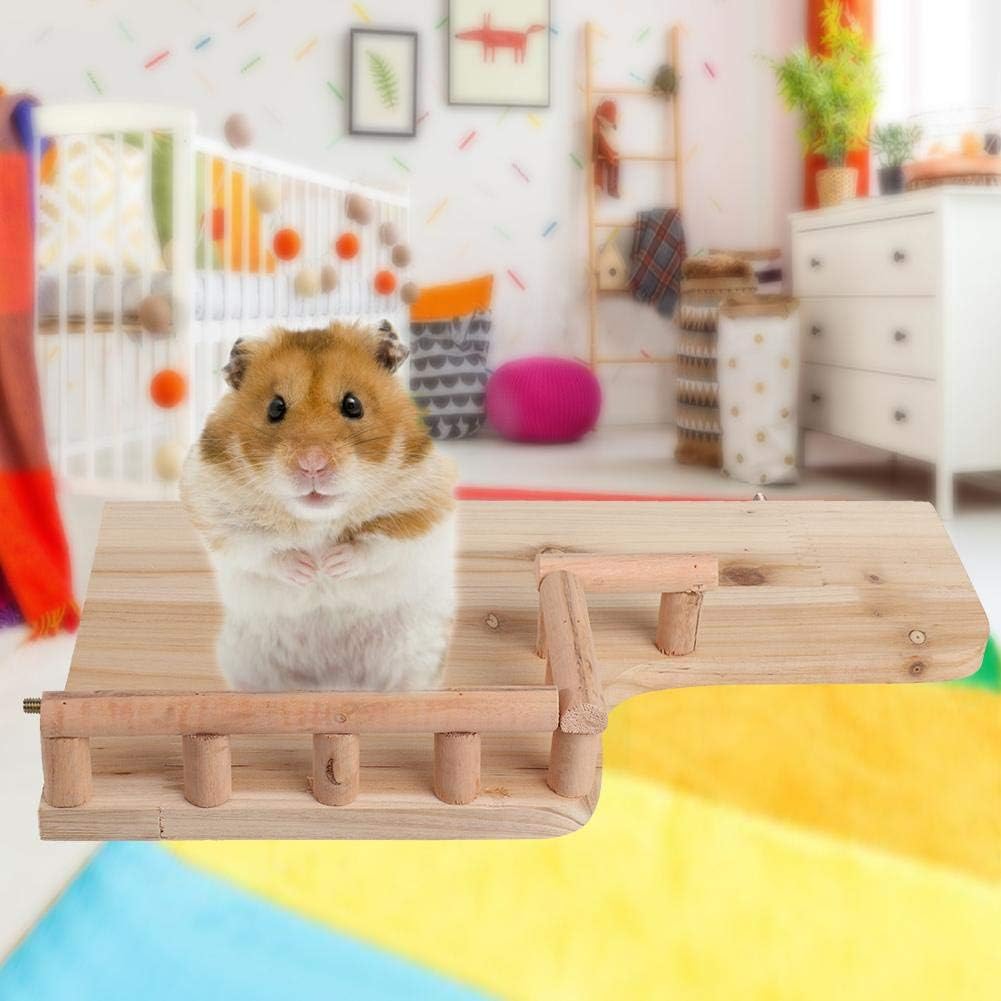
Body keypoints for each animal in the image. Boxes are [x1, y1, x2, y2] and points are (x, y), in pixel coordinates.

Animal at [180, 320, 456, 692]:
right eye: (275, 408)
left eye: (353, 404)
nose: (312, 464)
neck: (317, 520)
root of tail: (334, 683)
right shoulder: (219, 519)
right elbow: (261, 548)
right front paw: (309, 570)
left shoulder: (421, 515)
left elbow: (376, 547)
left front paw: (330, 564)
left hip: (417, 658)